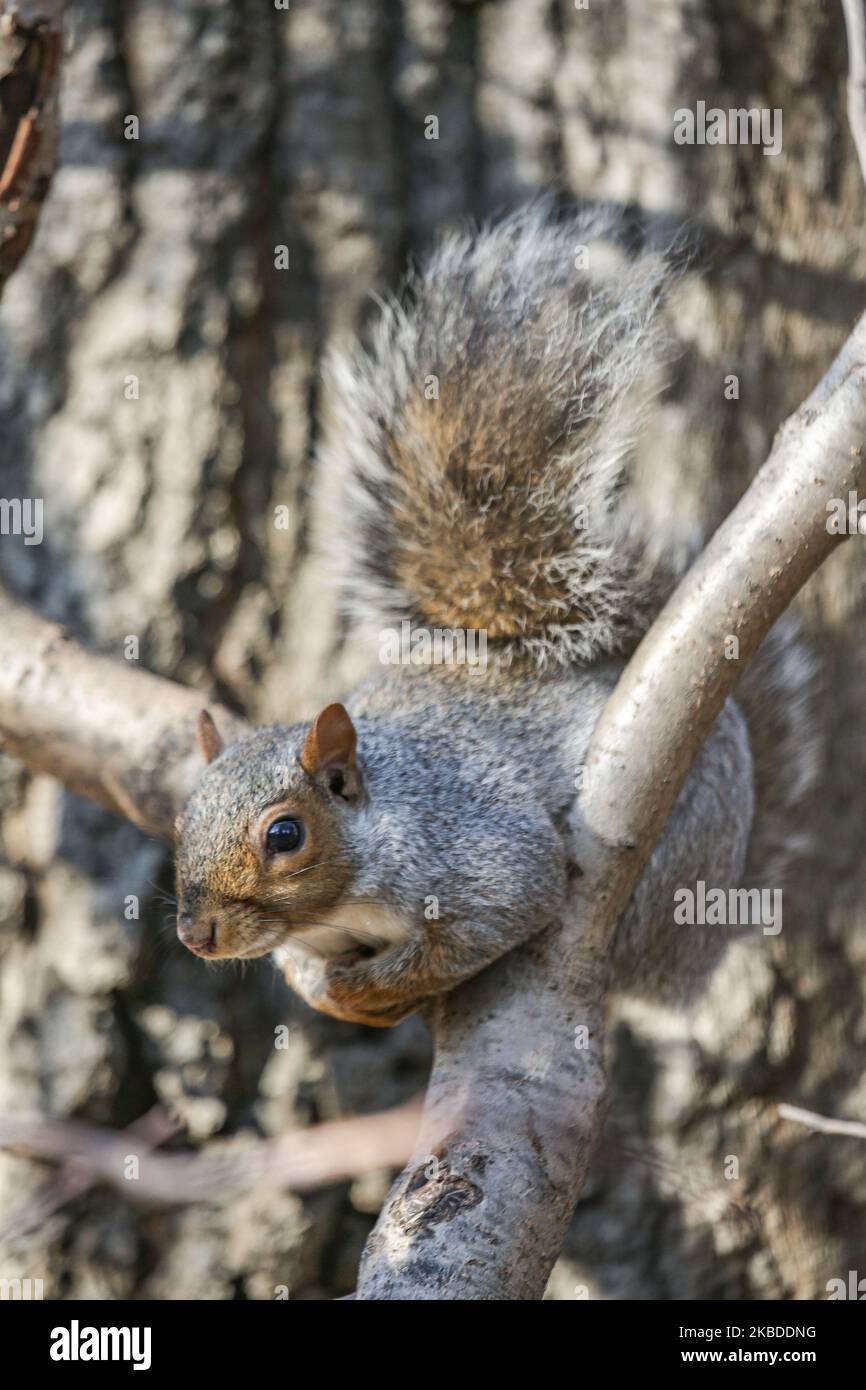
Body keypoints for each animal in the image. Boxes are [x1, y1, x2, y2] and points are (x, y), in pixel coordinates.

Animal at [174, 207, 817, 1027]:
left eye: (285, 834)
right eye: (179, 820)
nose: (196, 934)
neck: (339, 909)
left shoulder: (478, 852)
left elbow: (500, 912)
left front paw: (371, 988)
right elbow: (309, 979)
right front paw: (339, 994)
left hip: (680, 849)